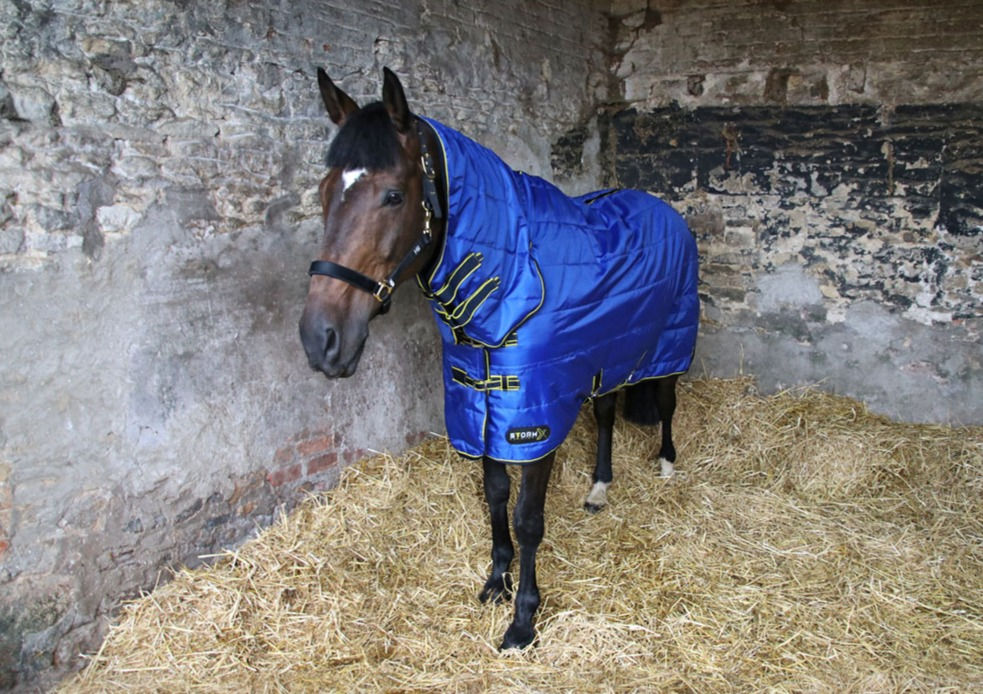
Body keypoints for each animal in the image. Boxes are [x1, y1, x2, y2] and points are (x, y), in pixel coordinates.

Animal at [299, 67, 699, 650]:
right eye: (325, 192)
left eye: (393, 195)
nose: (320, 338)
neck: (511, 281)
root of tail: (664, 208)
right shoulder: (481, 405)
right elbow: (494, 495)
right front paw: (496, 580)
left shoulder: (531, 422)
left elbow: (528, 517)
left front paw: (524, 618)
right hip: (607, 357)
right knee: (605, 415)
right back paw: (599, 489)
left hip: (669, 346)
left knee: (666, 404)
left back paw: (667, 464)